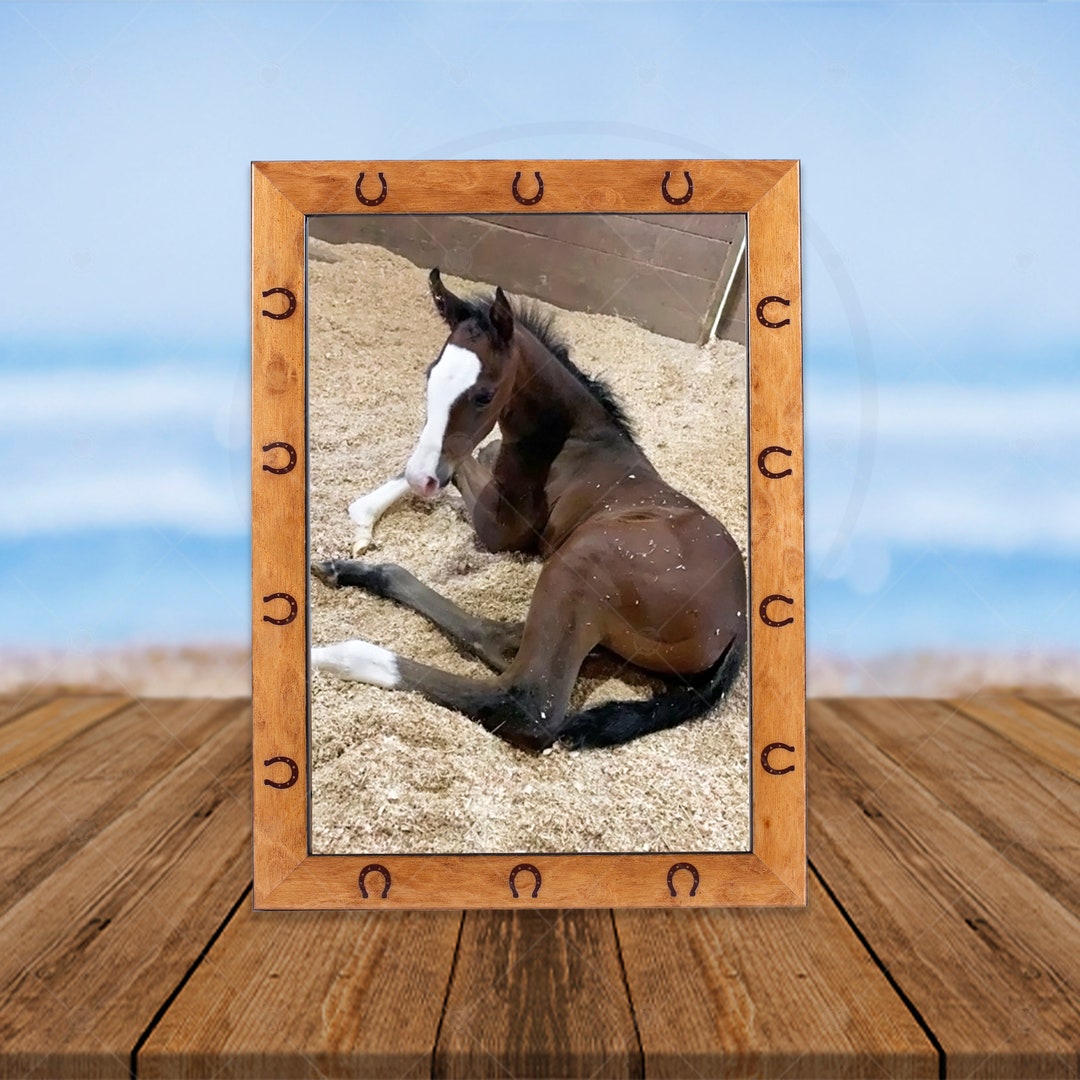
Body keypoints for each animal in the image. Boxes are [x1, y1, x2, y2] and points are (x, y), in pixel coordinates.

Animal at [311, 268, 747, 753]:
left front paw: (369, 514)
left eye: (484, 395)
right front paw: (366, 519)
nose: (423, 478)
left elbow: (461, 463)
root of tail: (739, 623)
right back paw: (347, 573)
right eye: (430, 376)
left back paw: (335, 653)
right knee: (501, 639)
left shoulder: (497, 529)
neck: (572, 439)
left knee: (524, 699)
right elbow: (465, 459)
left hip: (583, 560)